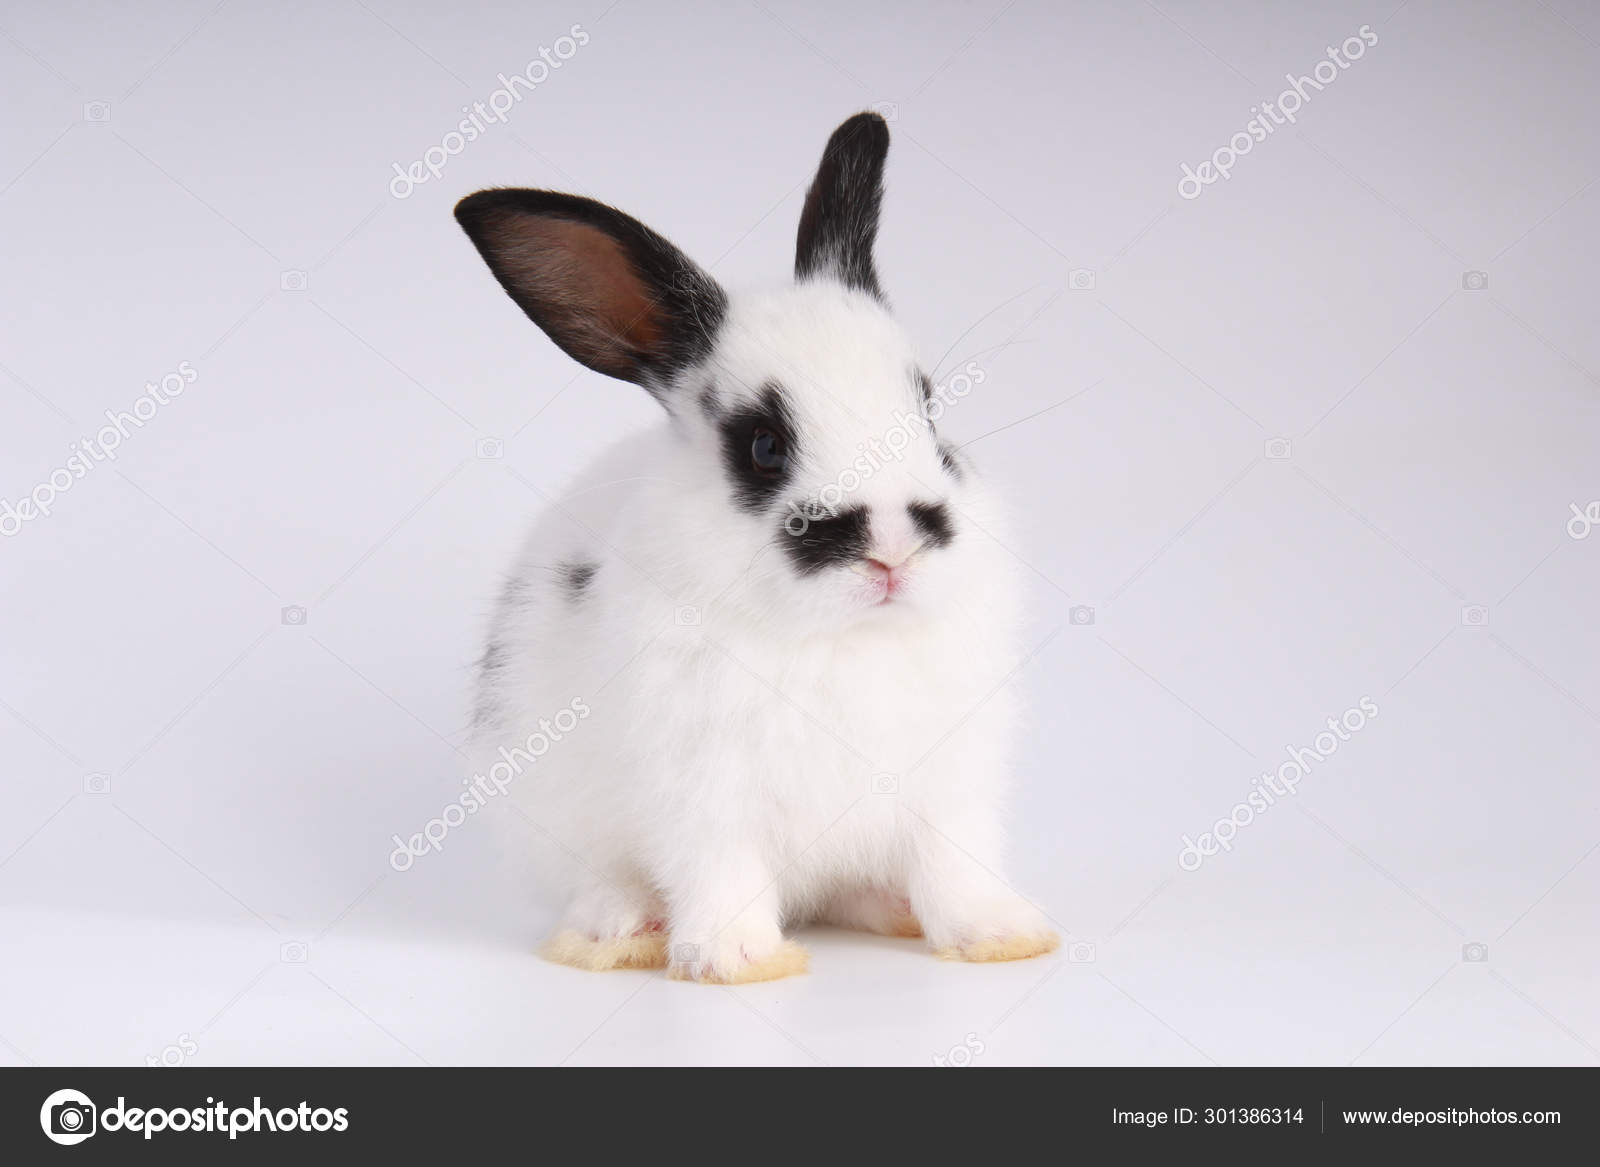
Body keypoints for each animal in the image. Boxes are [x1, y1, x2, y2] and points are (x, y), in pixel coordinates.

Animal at [455, 112, 1057, 984]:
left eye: (929, 411)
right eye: (764, 445)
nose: (893, 548)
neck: (840, 638)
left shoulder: (949, 783)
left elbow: (954, 862)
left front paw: (1001, 936)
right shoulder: (702, 789)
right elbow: (719, 866)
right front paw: (738, 960)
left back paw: (891, 908)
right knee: (605, 879)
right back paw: (616, 932)